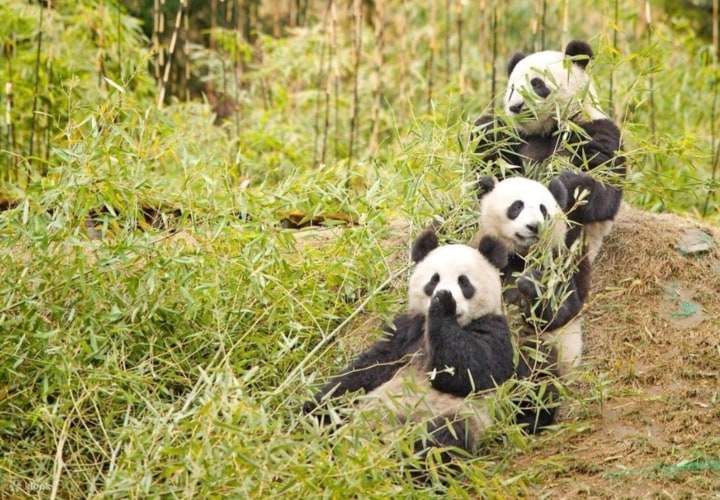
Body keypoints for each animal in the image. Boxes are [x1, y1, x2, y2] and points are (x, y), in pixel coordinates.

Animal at [304, 227, 551, 458]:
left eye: (464, 282)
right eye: (434, 280)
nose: (445, 292)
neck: (456, 324)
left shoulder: (494, 329)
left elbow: (474, 370)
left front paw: (443, 305)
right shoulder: (407, 331)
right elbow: (369, 367)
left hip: (452, 416)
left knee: (440, 441)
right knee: (334, 410)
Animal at [473, 40, 626, 262]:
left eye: (536, 83)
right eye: (512, 88)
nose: (516, 106)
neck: (551, 128)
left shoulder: (595, 130)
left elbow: (602, 187)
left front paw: (566, 182)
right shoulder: (520, 139)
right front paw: (486, 130)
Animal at [474, 175, 590, 377]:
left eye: (544, 210)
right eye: (517, 206)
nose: (534, 226)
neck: (522, 255)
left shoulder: (557, 264)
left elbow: (561, 310)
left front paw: (531, 283)